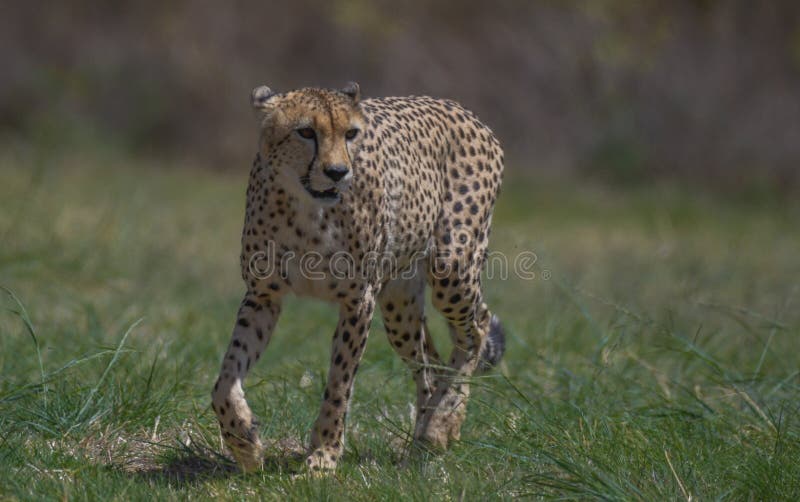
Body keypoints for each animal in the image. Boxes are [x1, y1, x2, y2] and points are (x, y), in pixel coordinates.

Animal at [211, 82, 506, 472]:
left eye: (351, 133)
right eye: (306, 132)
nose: (337, 171)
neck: (308, 209)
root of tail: (460, 109)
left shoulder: (358, 300)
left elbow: (339, 383)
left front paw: (323, 456)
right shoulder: (263, 296)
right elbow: (226, 378)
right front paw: (244, 442)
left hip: (451, 267)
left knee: (477, 326)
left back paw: (442, 423)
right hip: (398, 304)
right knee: (430, 361)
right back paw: (426, 435)